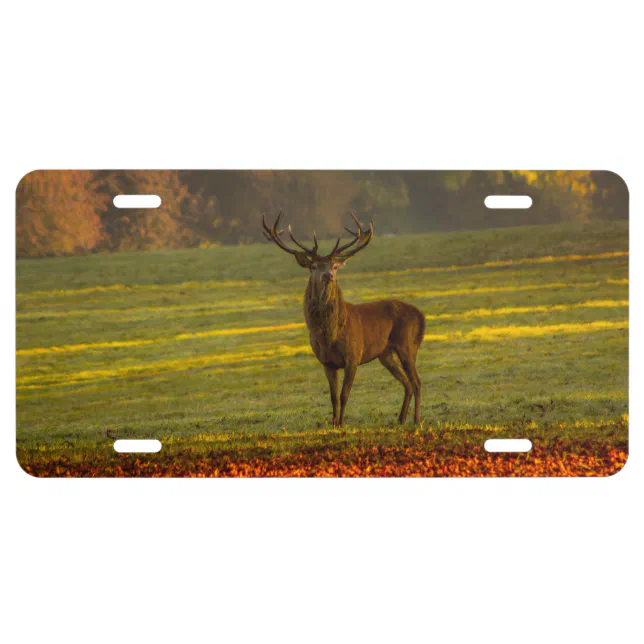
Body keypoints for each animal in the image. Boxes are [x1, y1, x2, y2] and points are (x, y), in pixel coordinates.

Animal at [262, 212, 426, 428]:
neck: (330, 336)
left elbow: (344, 394)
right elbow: (333, 397)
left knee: (416, 382)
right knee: (406, 382)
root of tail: (421, 315)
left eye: (334, 266)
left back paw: (416, 420)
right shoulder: (327, 362)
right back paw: (401, 418)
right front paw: (333, 424)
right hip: (385, 354)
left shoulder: (353, 356)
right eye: (314, 266)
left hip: (407, 345)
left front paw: (341, 424)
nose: (328, 276)